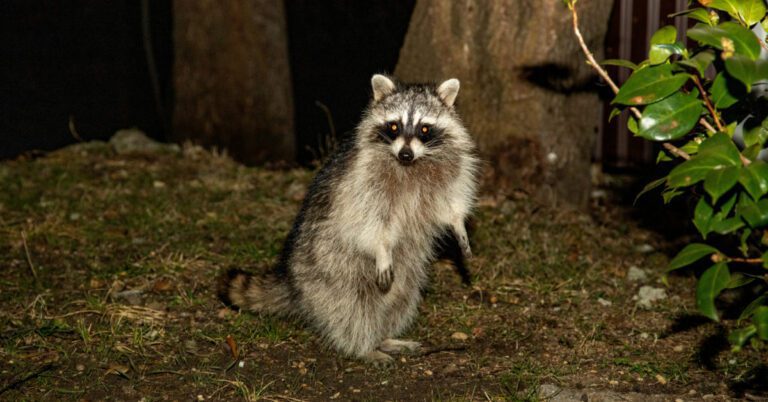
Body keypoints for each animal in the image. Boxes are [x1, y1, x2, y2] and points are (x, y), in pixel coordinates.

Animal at [219, 74, 480, 365]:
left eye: (424, 129)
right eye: (394, 126)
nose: (405, 154)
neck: (411, 165)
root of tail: (292, 281)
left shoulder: (451, 170)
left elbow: (451, 202)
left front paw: (459, 225)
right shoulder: (361, 181)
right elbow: (370, 221)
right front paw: (382, 249)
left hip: (406, 273)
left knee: (403, 297)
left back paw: (386, 336)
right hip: (332, 268)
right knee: (351, 306)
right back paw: (365, 346)